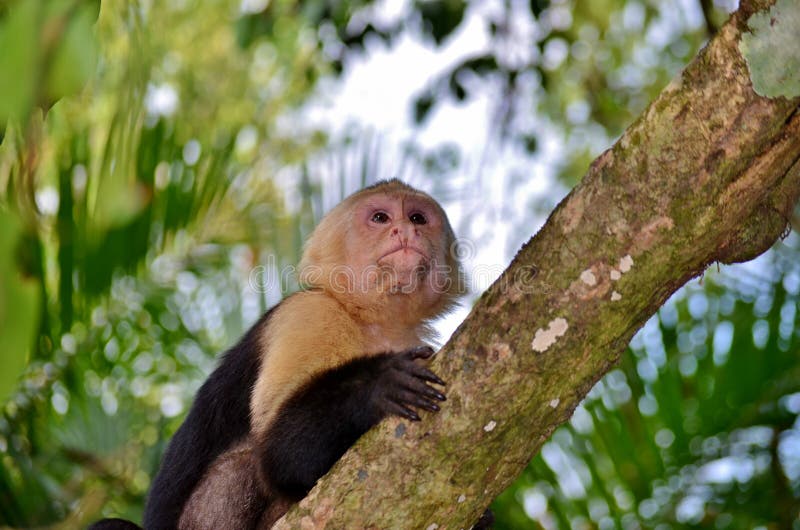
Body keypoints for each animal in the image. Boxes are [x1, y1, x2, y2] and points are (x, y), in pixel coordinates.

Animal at [89, 180, 492, 529]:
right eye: (381, 217)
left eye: (418, 218)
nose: (405, 231)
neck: (371, 320)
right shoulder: (309, 315)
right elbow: (280, 455)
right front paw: (378, 385)